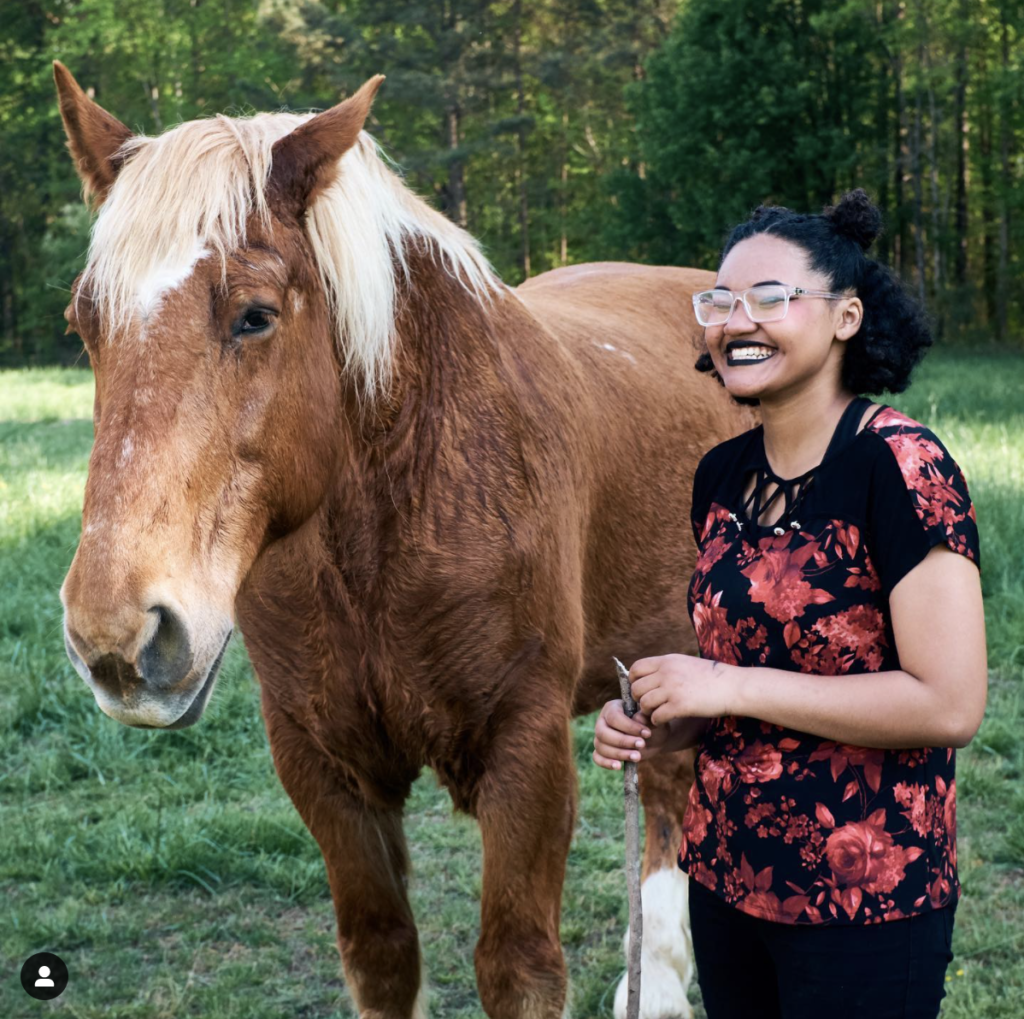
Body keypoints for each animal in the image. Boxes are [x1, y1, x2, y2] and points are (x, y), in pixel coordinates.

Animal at [53, 61, 757, 1019]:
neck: (382, 541)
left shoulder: (526, 751)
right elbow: (382, 953)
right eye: (82, 325)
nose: (117, 639)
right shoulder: (322, 765)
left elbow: (519, 964)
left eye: (255, 315)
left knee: (665, 796)